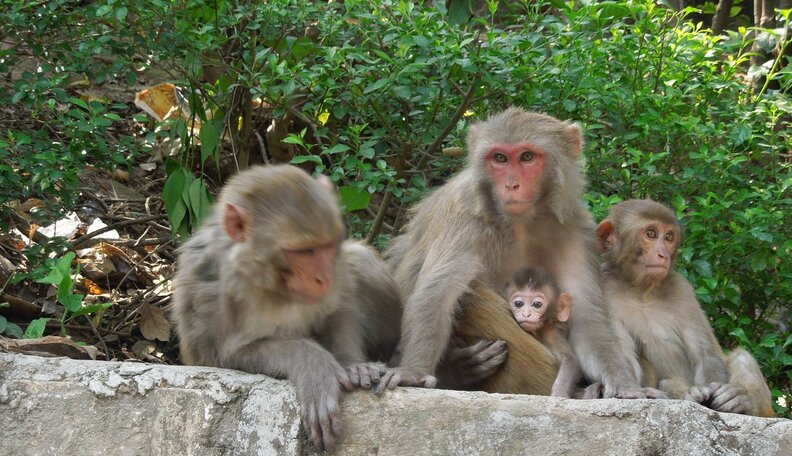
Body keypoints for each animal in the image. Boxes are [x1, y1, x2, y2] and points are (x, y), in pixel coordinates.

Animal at [171, 164, 403, 452]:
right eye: (303, 251)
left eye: (327, 245)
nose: (323, 278)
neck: (272, 283)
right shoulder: (213, 296)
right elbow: (229, 355)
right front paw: (314, 367)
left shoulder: (335, 264)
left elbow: (339, 307)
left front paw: (353, 365)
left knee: (359, 259)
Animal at [377, 107, 661, 398]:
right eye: (500, 158)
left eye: (527, 157)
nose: (511, 185)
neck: (522, 221)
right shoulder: (465, 217)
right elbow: (437, 293)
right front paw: (413, 372)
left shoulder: (577, 231)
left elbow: (586, 321)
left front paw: (626, 386)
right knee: (471, 293)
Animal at [595, 198, 775, 417]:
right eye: (651, 234)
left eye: (669, 237)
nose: (663, 254)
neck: (641, 291)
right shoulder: (604, 291)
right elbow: (623, 360)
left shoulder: (682, 289)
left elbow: (705, 355)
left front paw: (726, 396)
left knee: (741, 357)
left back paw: (742, 402)